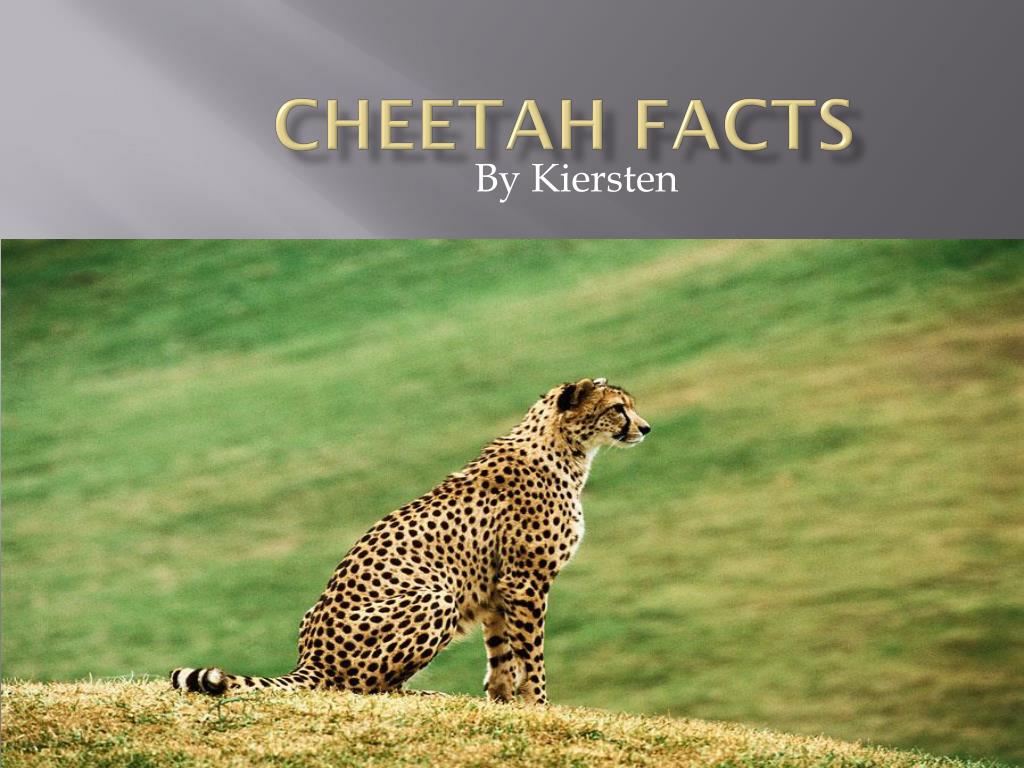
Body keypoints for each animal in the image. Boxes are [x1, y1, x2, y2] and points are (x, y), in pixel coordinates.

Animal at [170, 377, 650, 704]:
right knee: (360, 687)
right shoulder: (524, 581)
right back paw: (422, 695)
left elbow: (500, 654)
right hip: (436, 597)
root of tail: (310, 657)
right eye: (617, 408)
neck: (561, 449)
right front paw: (538, 704)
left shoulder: (497, 588)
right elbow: (531, 654)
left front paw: (501, 702)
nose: (645, 428)